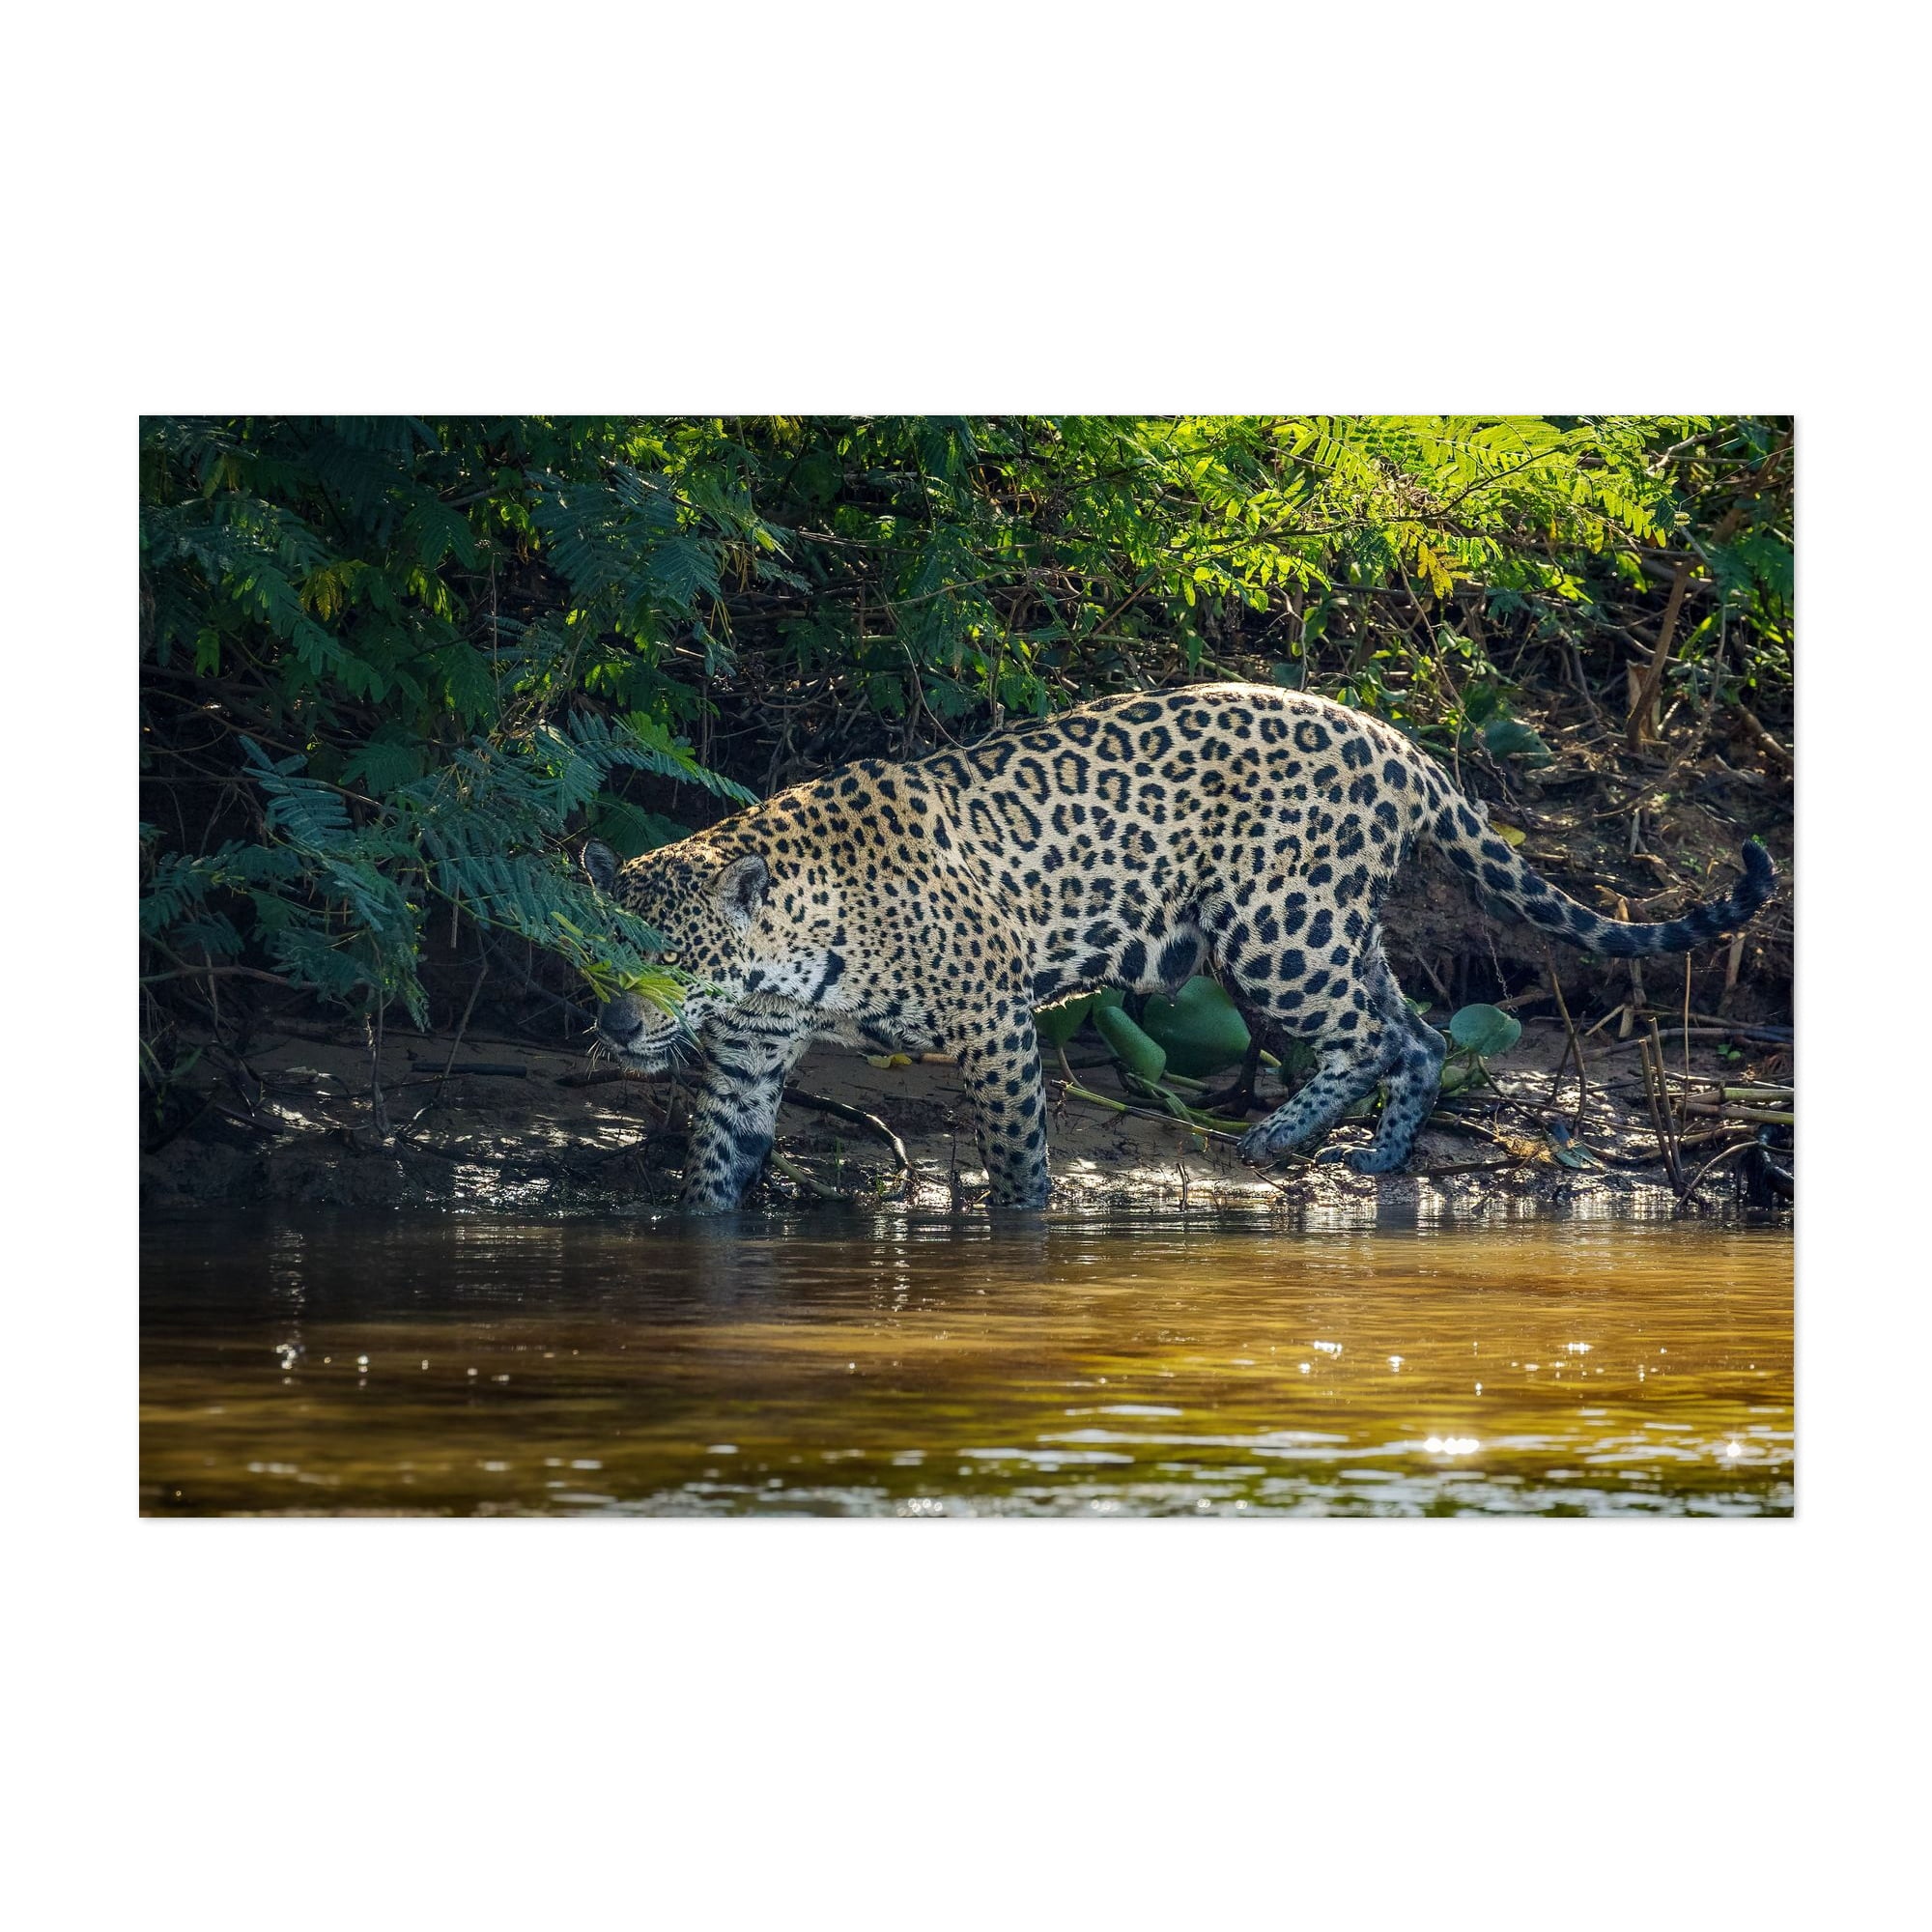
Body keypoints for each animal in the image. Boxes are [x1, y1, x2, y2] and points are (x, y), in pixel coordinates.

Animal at [581, 681, 1775, 1211]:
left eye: (671, 961)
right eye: (599, 958)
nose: (617, 1025)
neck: (793, 953)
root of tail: (1397, 743)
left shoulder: (993, 1019)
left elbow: (1017, 1162)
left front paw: (1025, 1238)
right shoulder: (746, 1052)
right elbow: (716, 1169)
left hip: (1276, 926)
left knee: (1375, 1036)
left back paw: (1286, 1139)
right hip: (1327, 924)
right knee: (1422, 1030)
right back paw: (1367, 1155)